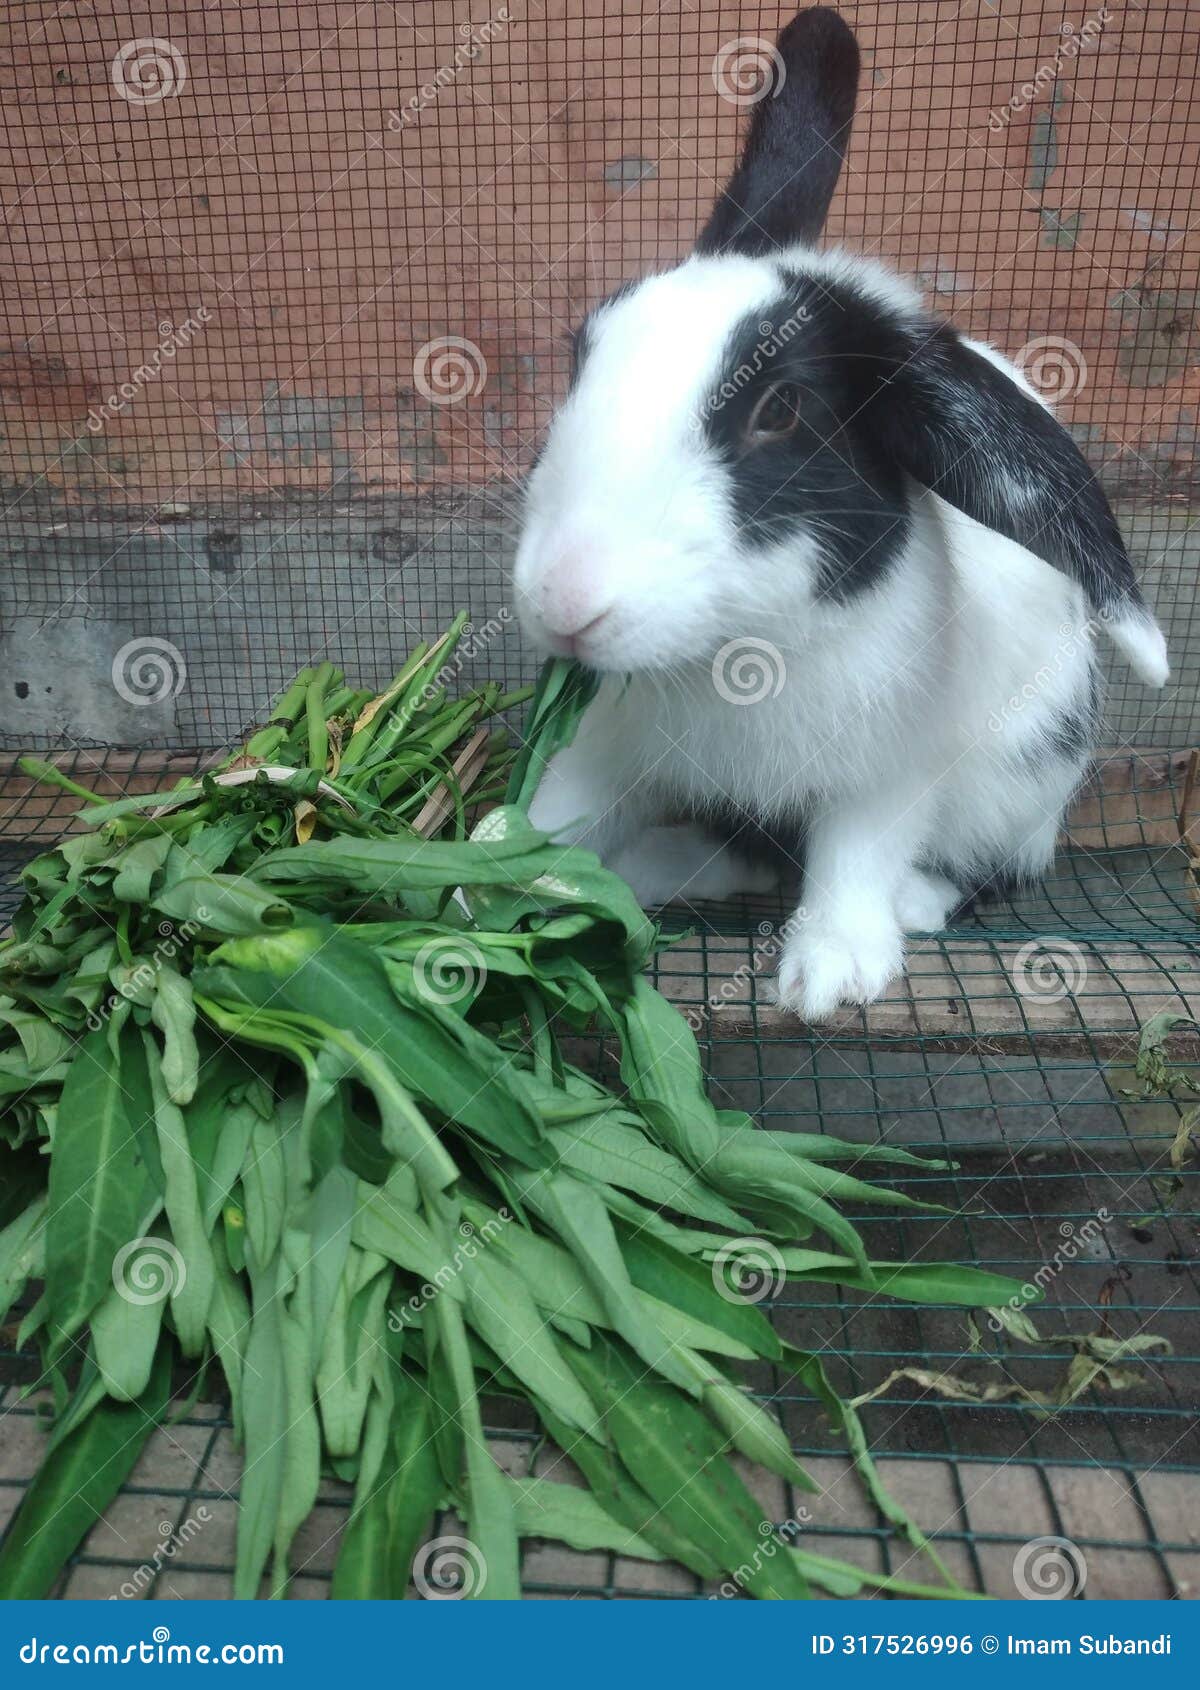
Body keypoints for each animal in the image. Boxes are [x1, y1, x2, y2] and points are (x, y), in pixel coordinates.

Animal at [513, 5, 1168, 1021]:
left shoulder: (887, 776)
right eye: (586, 348)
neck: (735, 652)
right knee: (740, 853)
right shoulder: (603, 744)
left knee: (995, 869)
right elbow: (561, 810)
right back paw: (659, 863)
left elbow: (854, 858)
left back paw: (915, 902)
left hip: (1028, 776)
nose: (562, 599)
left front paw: (831, 975)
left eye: (780, 410)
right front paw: (490, 877)